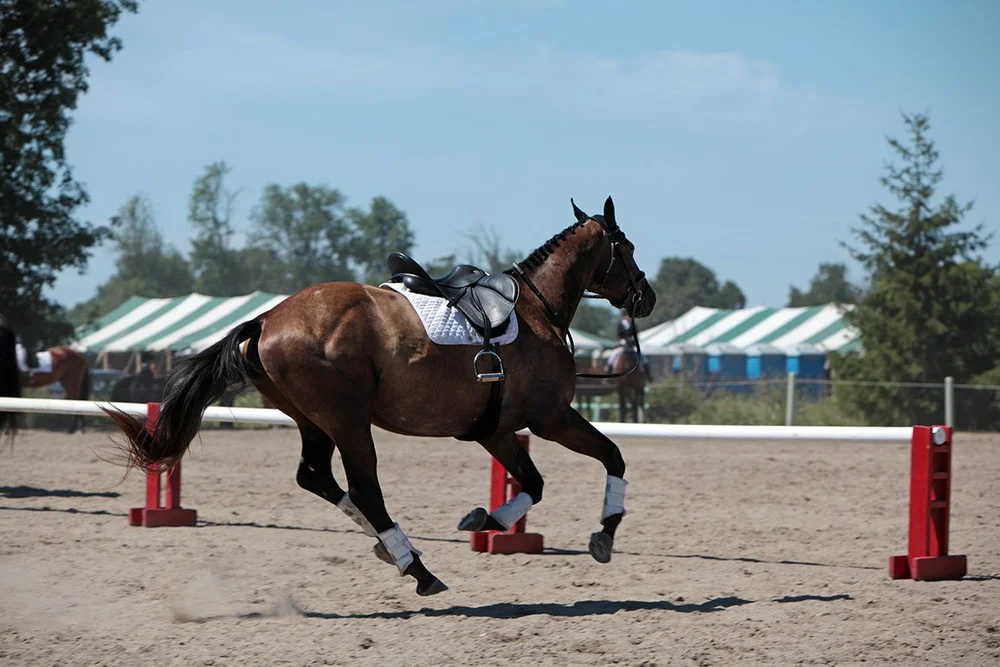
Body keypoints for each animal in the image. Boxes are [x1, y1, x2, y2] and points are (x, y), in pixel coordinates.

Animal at [104, 196, 656, 597]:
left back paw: (390, 549)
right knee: (366, 490)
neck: (538, 309)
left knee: (316, 477)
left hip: (314, 421)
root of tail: (268, 318)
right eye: (627, 247)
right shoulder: (551, 418)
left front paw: (485, 519)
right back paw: (418, 569)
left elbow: (534, 483)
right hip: (348, 422)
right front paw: (604, 534)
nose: (647, 297)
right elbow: (613, 456)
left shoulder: (495, 430)